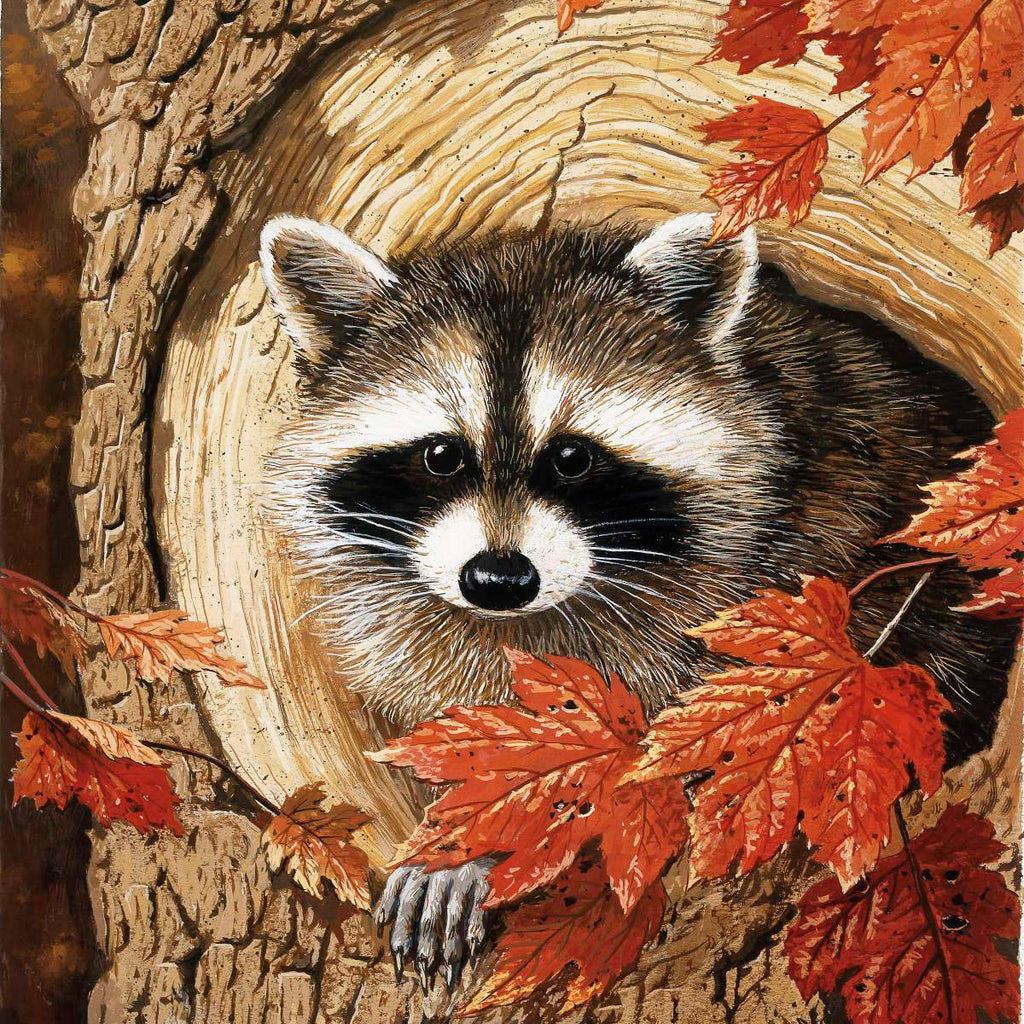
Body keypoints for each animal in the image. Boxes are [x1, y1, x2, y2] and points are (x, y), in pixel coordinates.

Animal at [259, 212, 1019, 990]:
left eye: (571, 457)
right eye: (441, 455)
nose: (498, 580)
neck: (524, 623)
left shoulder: (784, 564)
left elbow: (648, 764)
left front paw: (480, 845)